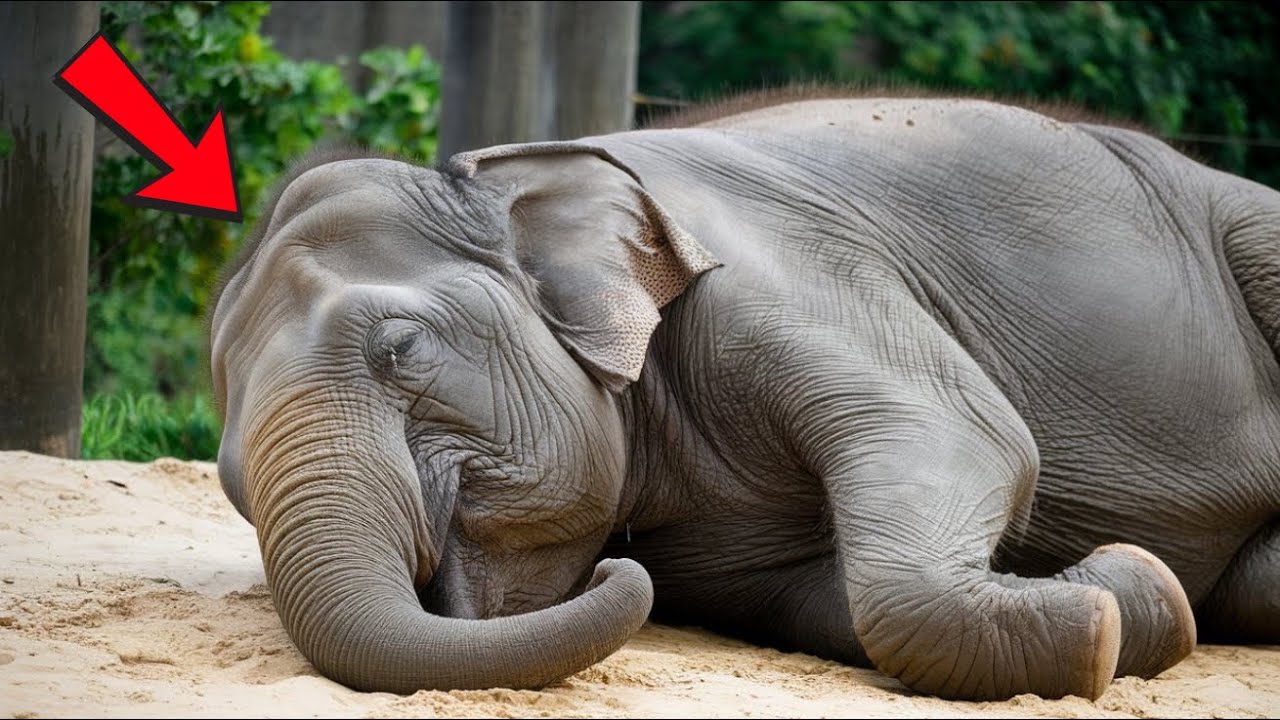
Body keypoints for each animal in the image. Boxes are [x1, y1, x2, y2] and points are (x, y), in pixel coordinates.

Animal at [209, 96, 1280, 702]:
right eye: (231, 488)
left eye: (399, 349)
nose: (619, 567)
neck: (499, 173)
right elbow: (822, 594)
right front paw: (1136, 592)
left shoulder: (776, 273)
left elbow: (978, 440)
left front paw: (1123, 595)